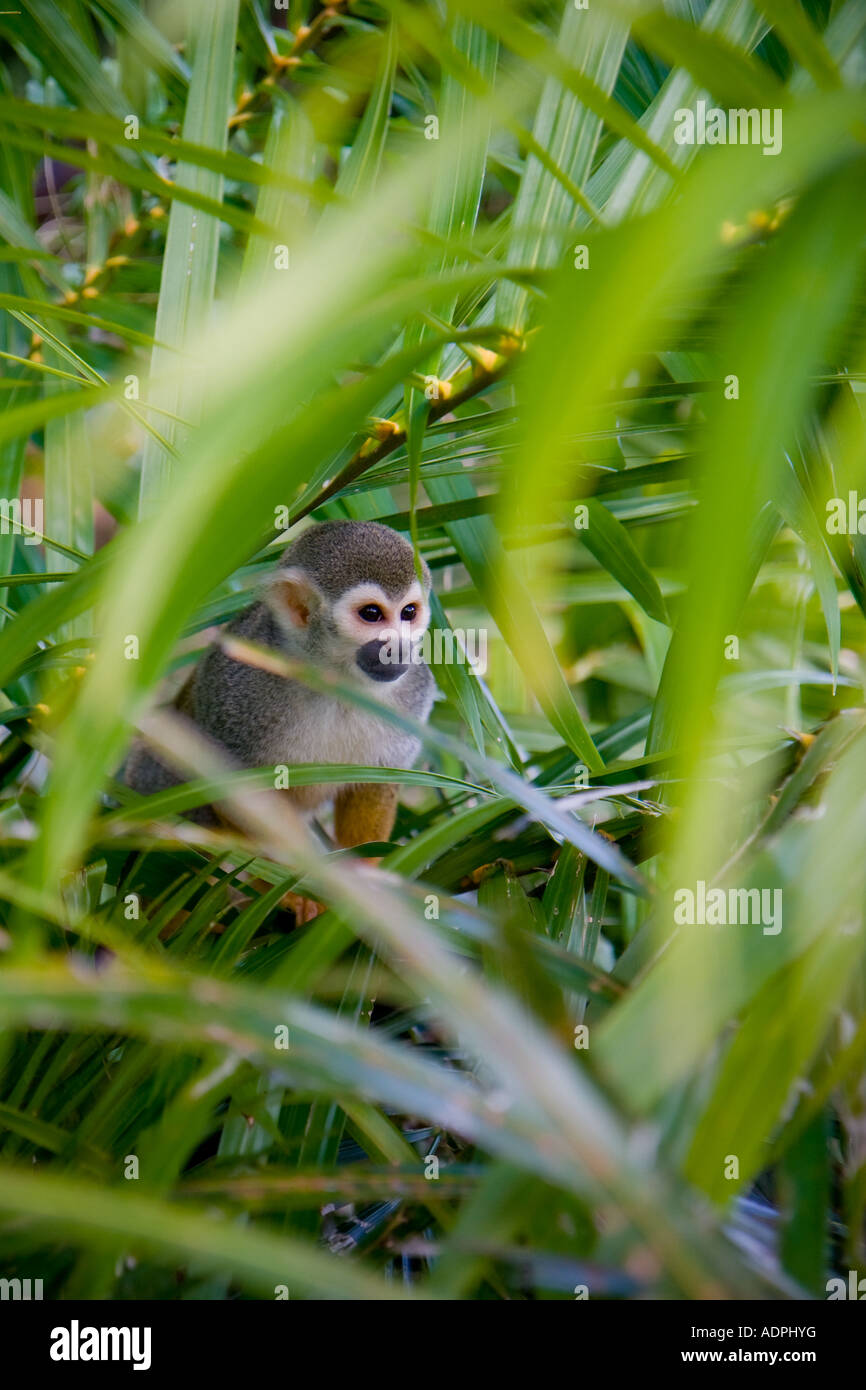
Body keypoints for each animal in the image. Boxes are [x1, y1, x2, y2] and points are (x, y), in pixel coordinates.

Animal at [124, 521, 436, 917]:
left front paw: (368, 884)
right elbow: (240, 796)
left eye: (409, 612)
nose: (398, 647)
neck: (334, 681)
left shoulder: (415, 689)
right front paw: (283, 891)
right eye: (371, 614)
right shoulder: (236, 688)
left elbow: (374, 785)